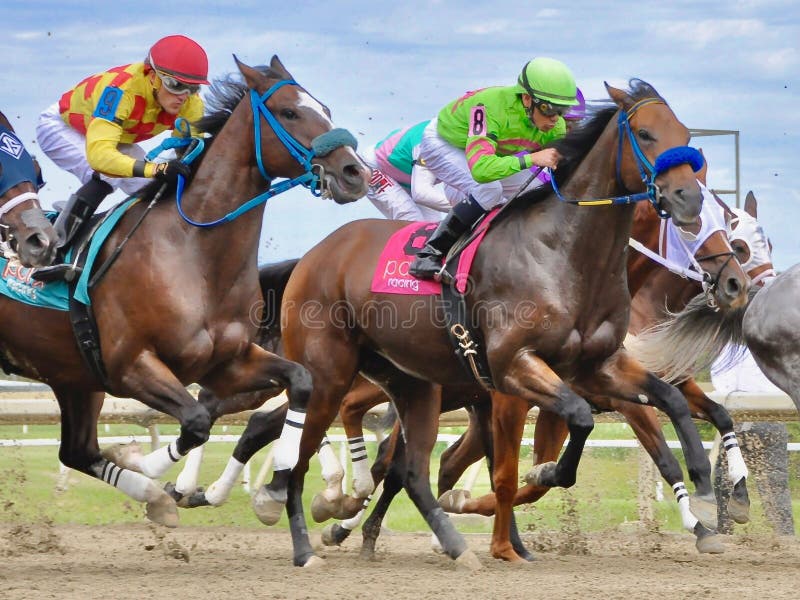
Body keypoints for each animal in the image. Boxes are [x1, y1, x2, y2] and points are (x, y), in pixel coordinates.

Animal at [253, 79, 749, 568]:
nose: (687, 199)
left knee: (404, 467)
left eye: (685, 137)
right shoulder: (515, 370)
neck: (563, 253)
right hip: (331, 375)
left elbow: (674, 404)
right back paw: (310, 525)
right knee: (307, 453)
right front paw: (524, 505)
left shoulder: (597, 367)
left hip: (411, 382)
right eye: (645, 134)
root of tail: (317, 254)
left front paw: (708, 495)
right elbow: (563, 432)